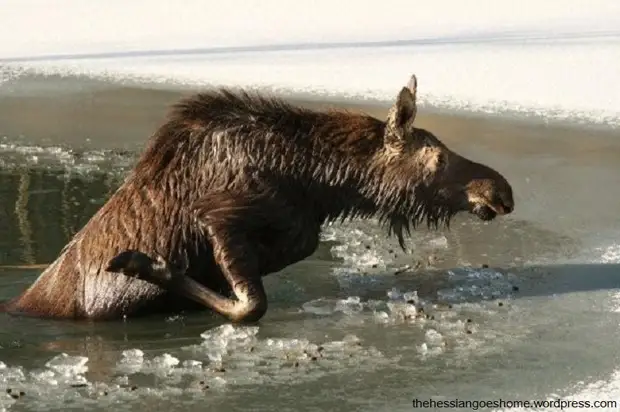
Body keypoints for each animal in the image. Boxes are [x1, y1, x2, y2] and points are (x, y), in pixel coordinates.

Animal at [2, 75, 516, 324]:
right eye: (437, 156)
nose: (501, 190)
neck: (320, 184)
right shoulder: (220, 213)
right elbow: (251, 305)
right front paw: (143, 264)